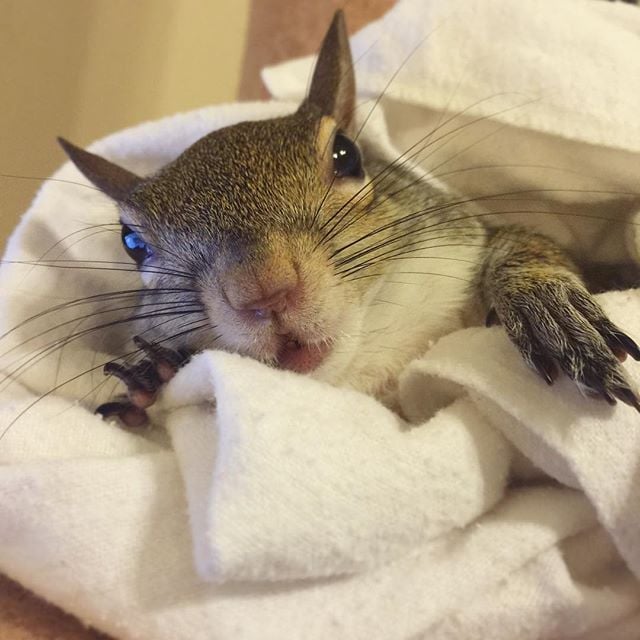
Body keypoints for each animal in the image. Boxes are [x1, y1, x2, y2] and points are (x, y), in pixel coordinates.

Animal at [55, 10, 640, 427]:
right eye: (133, 245)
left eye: (347, 155)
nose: (262, 290)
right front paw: (153, 382)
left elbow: (521, 242)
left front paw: (544, 300)